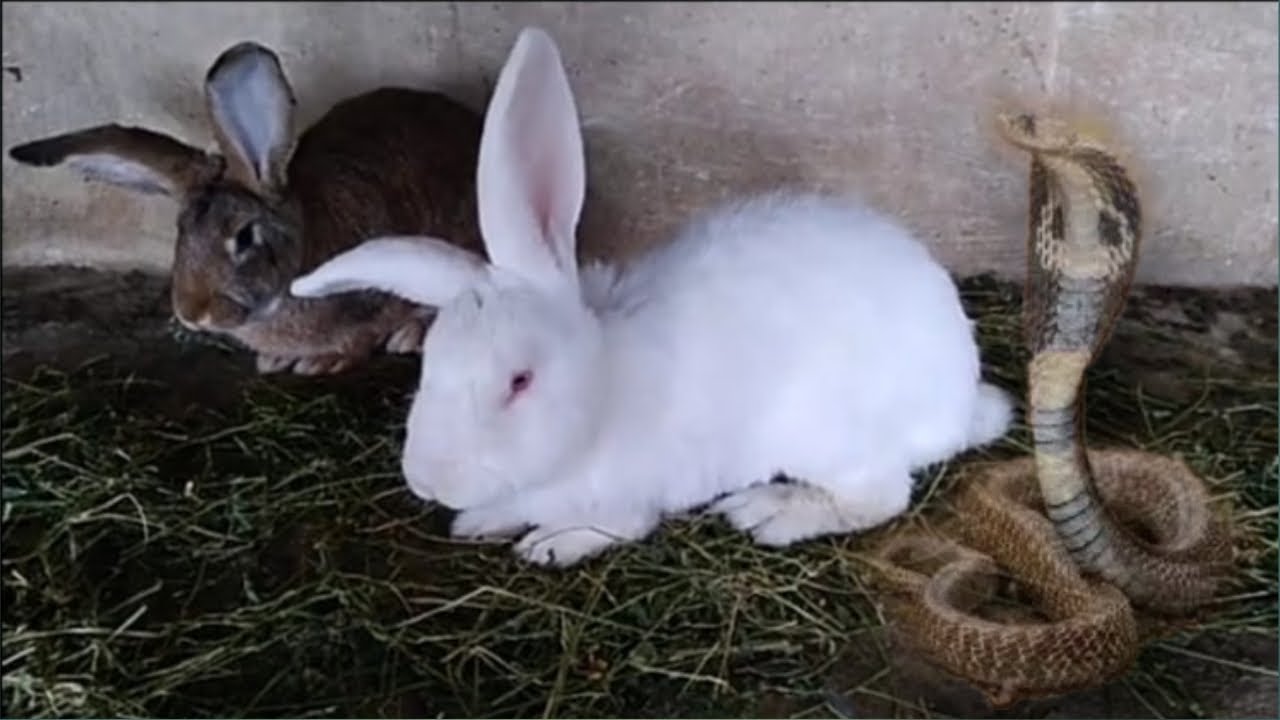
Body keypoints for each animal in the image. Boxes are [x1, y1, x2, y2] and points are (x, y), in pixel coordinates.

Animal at [7, 41, 484, 376]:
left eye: (244, 236)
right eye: (181, 232)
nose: (193, 313)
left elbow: (361, 336)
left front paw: (321, 362)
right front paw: (273, 362)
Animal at [289, 27, 1014, 567]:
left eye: (520, 382)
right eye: (429, 363)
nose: (429, 481)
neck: (600, 394)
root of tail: (959, 400)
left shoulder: (629, 498)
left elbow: (617, 528)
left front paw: (547, 544)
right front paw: (480, 520)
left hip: (828, 434)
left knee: (880, 497)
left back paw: (768, 512)